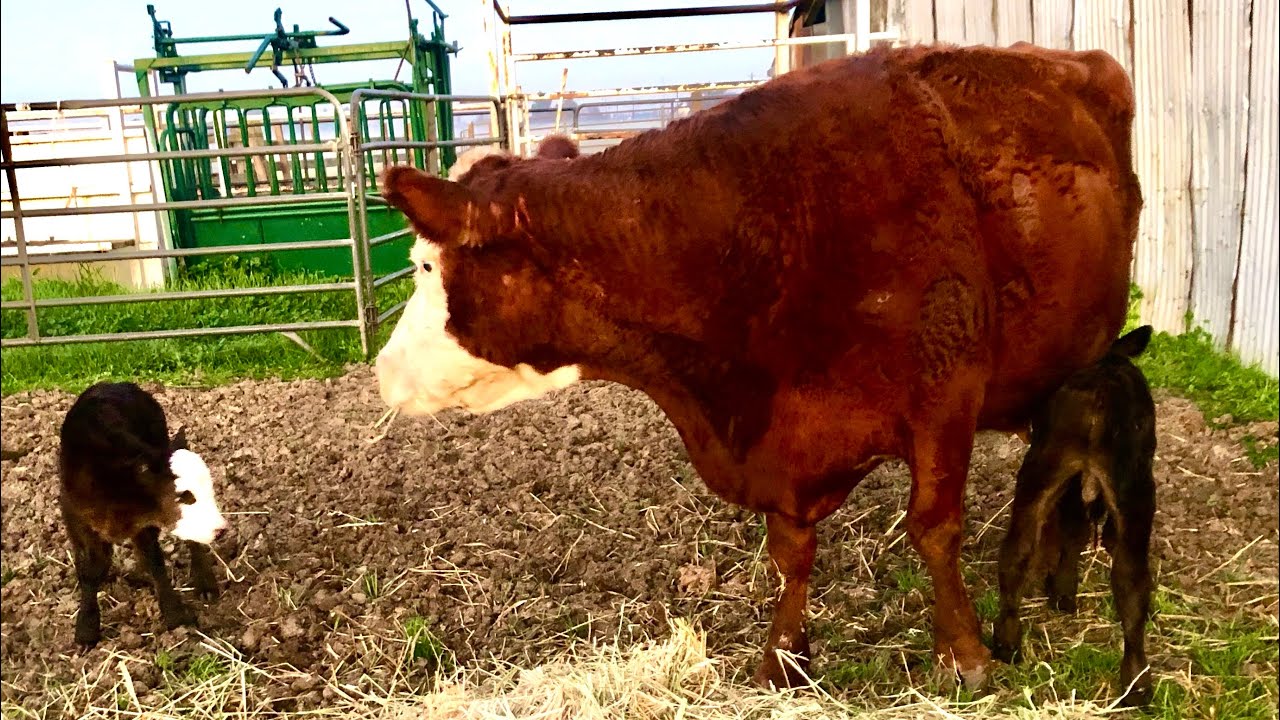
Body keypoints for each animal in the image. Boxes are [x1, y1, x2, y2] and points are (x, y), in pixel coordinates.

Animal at [59, 381, 227, 646]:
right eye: (184, 495)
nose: (221, 529)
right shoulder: (76, 520)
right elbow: (89, 570)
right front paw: (86, 629)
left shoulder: (145, 524)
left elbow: (155, 562)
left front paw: (175, 615)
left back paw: (205, 583)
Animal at [372, 42, 1142, 690]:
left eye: (423, 265)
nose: (381, 371)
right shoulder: (782, 443)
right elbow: (791, 551)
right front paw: (783, 658)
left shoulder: (946, 397)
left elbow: (933, 527)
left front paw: (965, 651)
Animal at [993, 325, 1158, 705]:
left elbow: (1073, 527)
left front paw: (1061, 591)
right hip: (1135, 484)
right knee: (1131, 578)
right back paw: (1137, 682)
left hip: (1041, 469)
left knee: (1016, 552)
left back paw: (1007, 642)